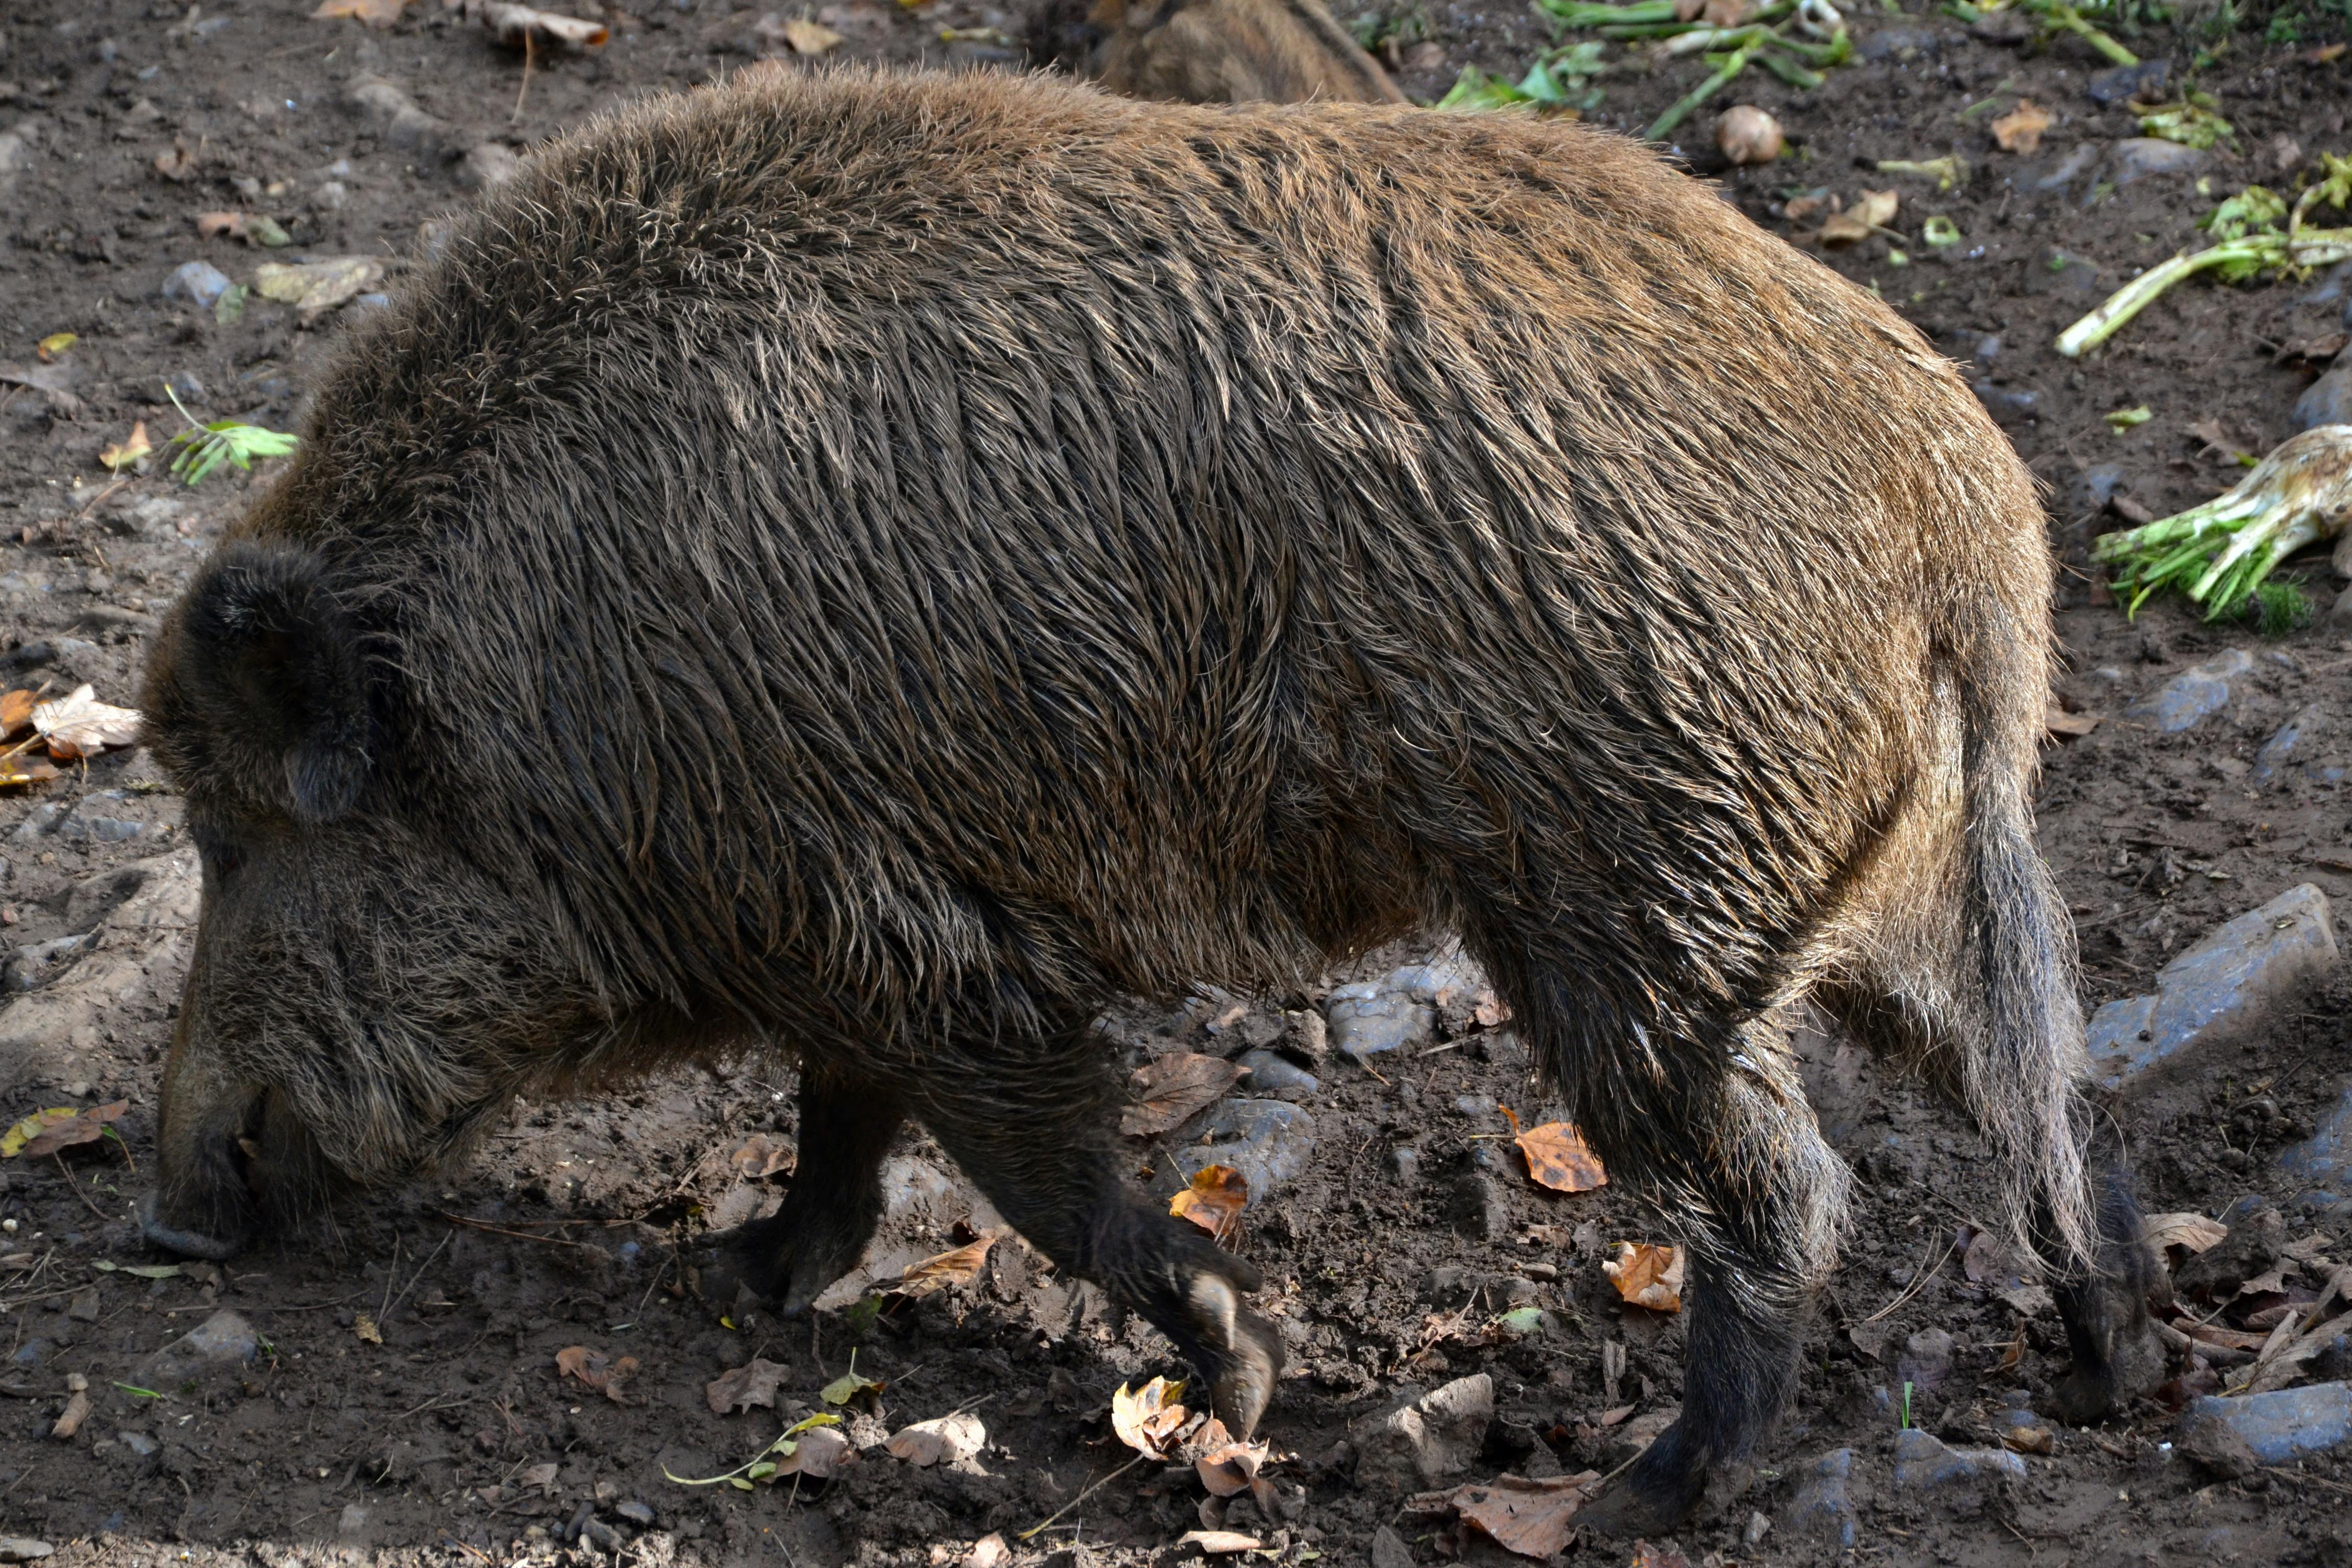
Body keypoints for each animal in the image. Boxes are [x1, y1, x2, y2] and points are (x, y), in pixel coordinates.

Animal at [137, 66, 2162, 1531]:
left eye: (240, 829)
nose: (163, 1214)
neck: (530, 667)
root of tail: (1955, 513)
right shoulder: (839, 923)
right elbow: (837, 1119)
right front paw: (752, 1270)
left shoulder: (926, 933)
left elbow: (1036, 1170)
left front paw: (1231, 1379)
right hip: (1875, 881)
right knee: (2036, 1087)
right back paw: (2110, 1371)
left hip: (1638, 911)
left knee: (1796, 1184)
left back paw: (1638, 1501)